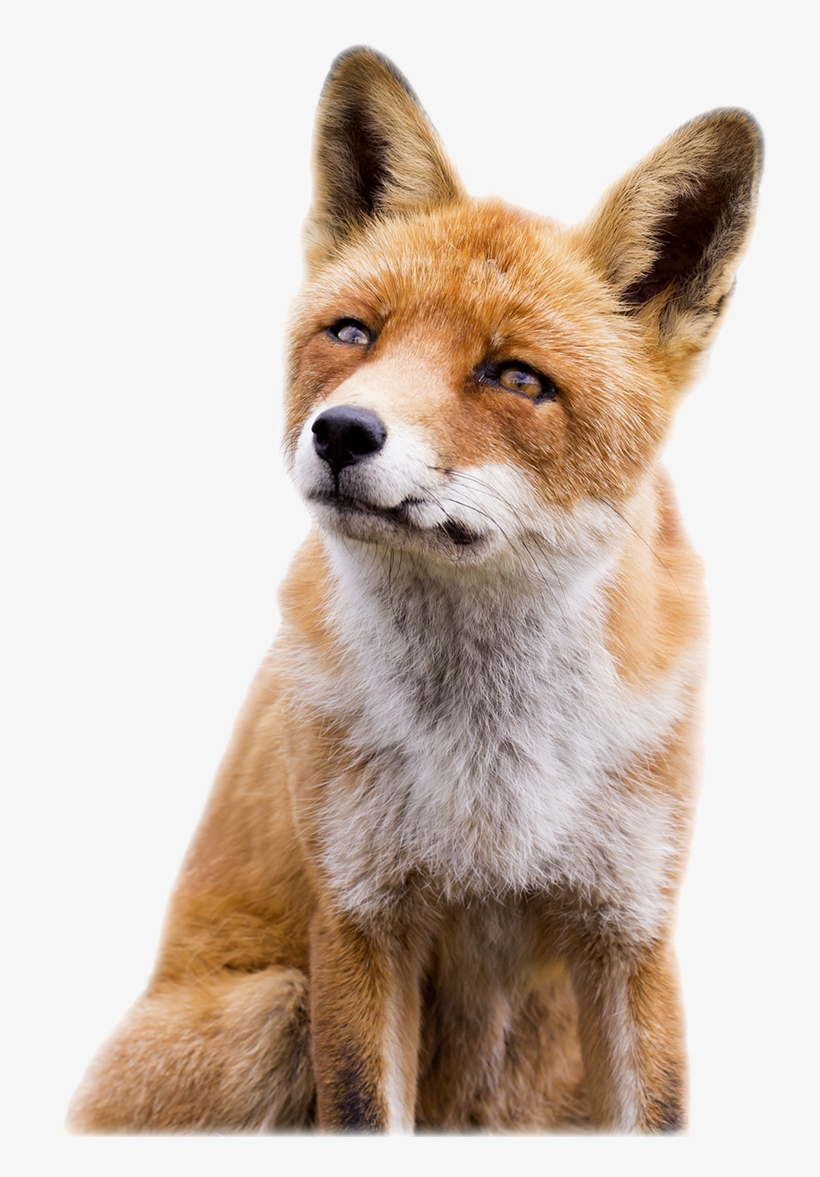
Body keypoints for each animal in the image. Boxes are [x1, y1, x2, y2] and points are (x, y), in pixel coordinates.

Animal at [68, 46, 762, 1134]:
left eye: (516, 379)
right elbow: (364, 1109)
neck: (491, 769)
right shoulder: (360, 921)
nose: (343, 432)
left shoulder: (629, 931)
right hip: (274, 1007)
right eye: (353, 333)